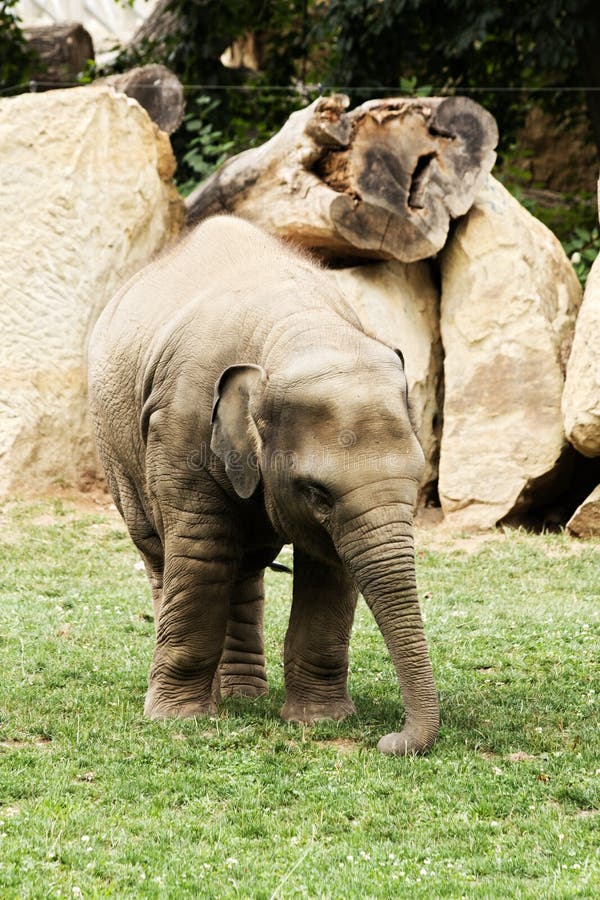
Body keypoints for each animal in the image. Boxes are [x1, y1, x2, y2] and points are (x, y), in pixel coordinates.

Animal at [88, 215, 439, 755]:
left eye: (417, 478)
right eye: (317, 492)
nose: (390, 741)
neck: (296, 328)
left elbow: (330, 568)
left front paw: (320, 721)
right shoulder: (181, 424)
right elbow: (202, 552)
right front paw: (178, 721)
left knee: (244, 566)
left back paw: (245, 696)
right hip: (115, 448)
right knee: (172, 557)